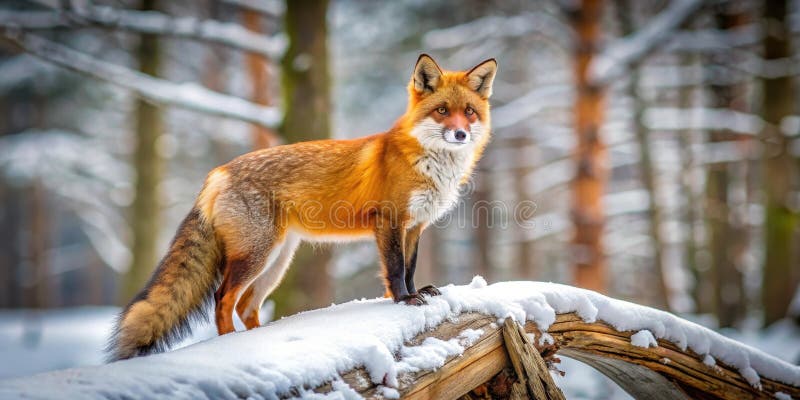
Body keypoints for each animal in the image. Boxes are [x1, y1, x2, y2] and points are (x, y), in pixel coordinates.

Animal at [107, 54, 497, 361]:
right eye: (442, 111)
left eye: (469, 113)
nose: (460, 135)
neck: (430, 165)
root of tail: (218, 172)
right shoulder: (389, 220)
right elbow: (396, 268)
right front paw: (403, 301)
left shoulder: (415, 226)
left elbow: (411, 266)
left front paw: (417, 294)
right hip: (256, 255)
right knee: (223, 298)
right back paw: (231, 344)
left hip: (277, 261)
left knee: (247, 306)